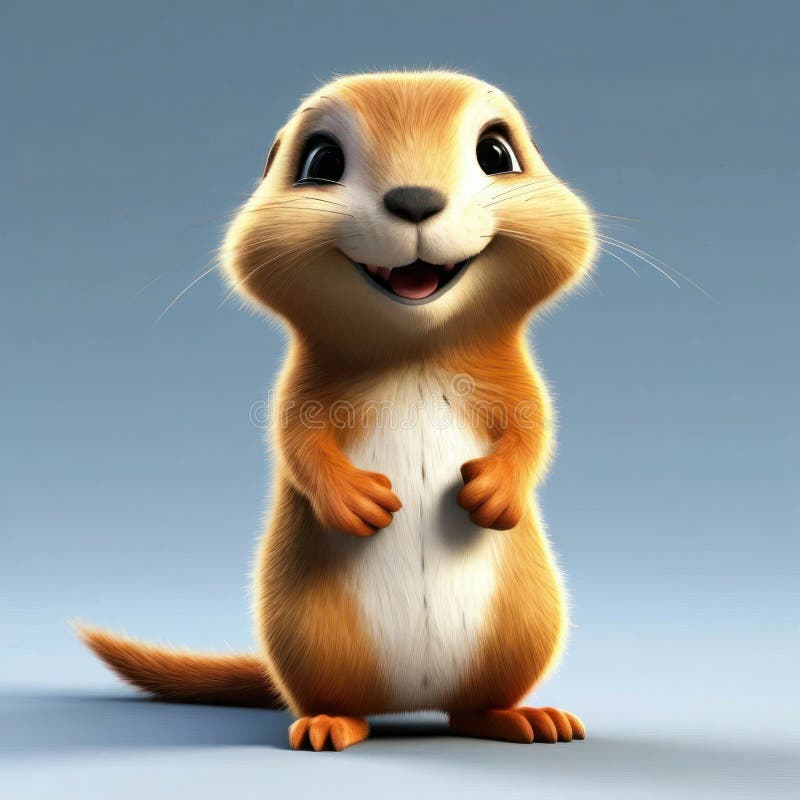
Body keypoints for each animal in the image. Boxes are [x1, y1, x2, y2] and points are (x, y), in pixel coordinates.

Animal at [78, 71, 597, 751]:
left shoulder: (516, 385)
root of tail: (411, 703)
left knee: (473, 709)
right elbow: (295, 441)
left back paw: (527, 719)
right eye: (320, 162)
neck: (413, 351)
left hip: (523, 630)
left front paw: (495, 492)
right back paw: (328, 725)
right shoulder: (301, 390)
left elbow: (535, 428)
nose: (414, 199)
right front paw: (357, 500)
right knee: (343, 703)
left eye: (497, 153)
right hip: (308, 636)